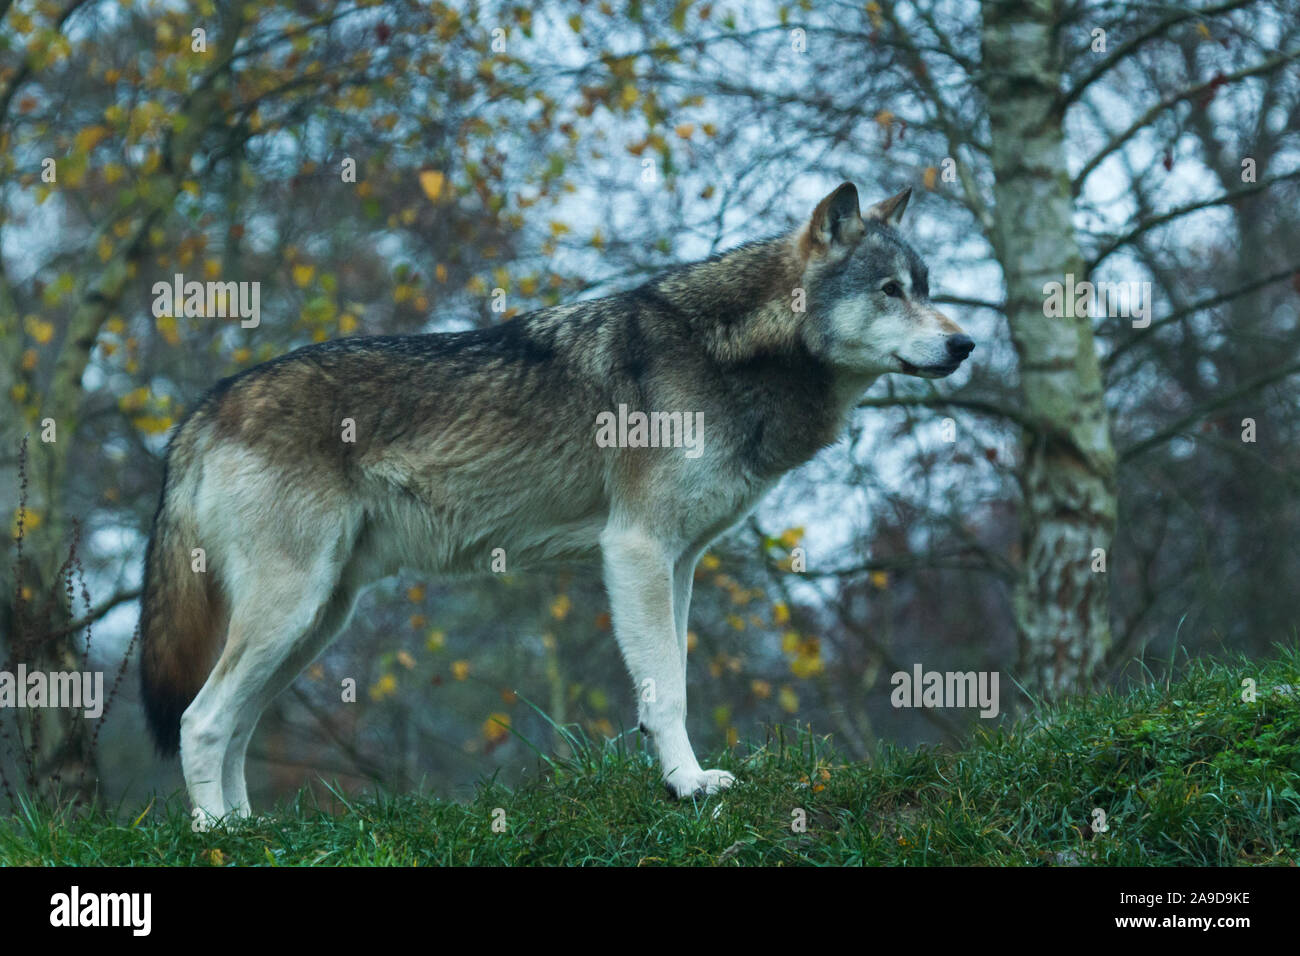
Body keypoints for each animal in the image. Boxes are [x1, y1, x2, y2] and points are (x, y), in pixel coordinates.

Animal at [139, 182, 973, 824]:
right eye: (890, 292)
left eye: (927, 288)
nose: (965, 345)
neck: (725, 349)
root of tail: (201, 411)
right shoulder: (636, 549)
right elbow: (666, 690)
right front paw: (689, 786)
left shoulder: (678, 562)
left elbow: (668, 680)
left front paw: (682, 778)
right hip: (292, 608)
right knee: (200, 720)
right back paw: (217, 835)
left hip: (315, 620)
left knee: (234, 726)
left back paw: (250, 830)